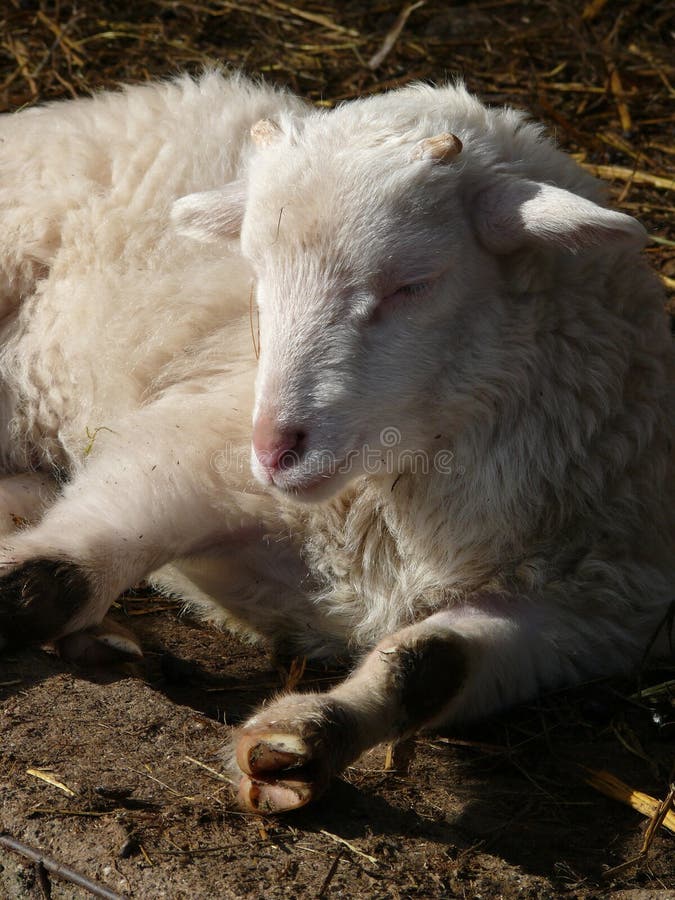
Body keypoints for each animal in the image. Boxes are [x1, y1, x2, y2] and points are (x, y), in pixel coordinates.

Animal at [0, 70, 672, 815]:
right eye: (255, 272)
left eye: (414, 283)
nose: (274, 451)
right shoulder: (190, 446)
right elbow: (50, 581)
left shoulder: (591, 612)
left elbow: (428, 666)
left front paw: (304, 740)